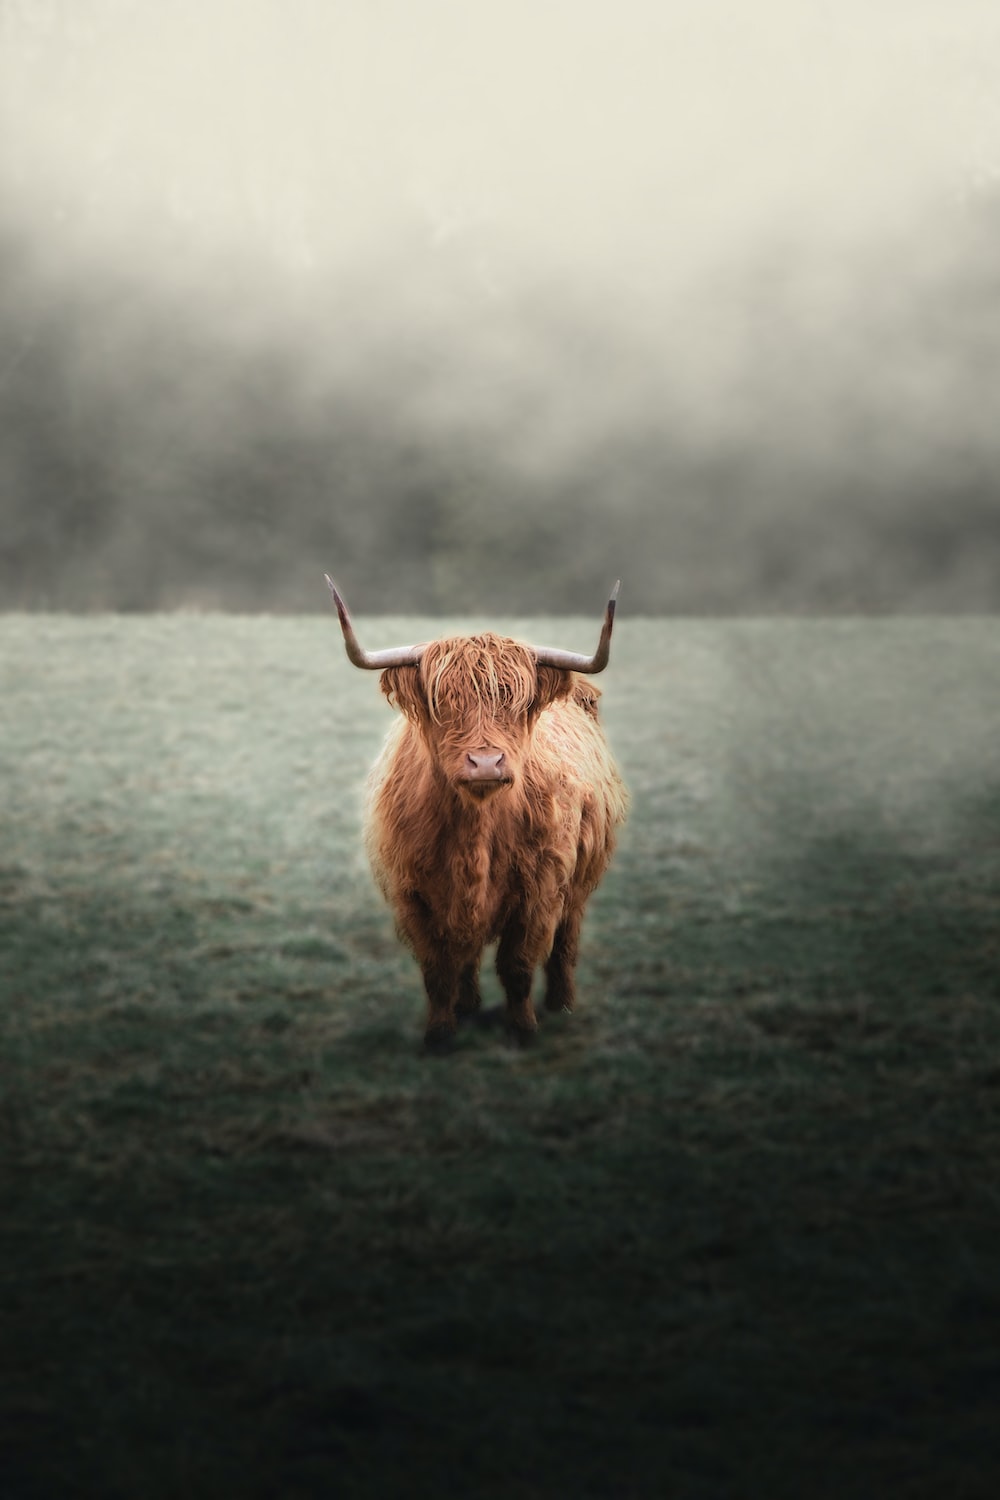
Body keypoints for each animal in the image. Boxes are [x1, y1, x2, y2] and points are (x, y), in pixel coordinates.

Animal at [326, 577, 629, 1050]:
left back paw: (561, 1003)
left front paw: (523, 1029)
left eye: (517, 704)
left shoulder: (540, 891)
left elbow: (518, 965)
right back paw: (468, 1005)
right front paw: (439, 1034)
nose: (486, 763)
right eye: (443, 703)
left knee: (566, 941)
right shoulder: (413, 896)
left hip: (580, 881)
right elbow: (437, 970)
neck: (476, 829)